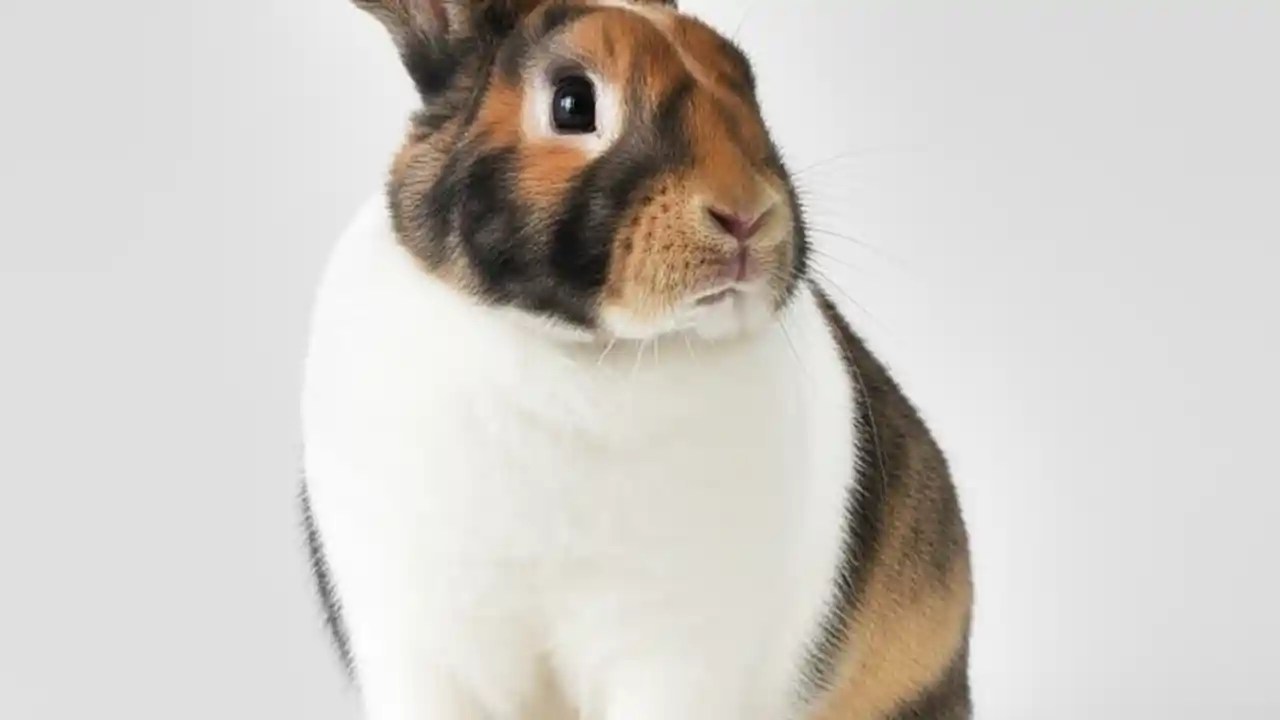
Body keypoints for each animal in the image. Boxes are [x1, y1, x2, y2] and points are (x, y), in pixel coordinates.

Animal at [300, 1, 972, 718]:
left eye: (745, 82)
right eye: (573, 103)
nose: (747, 215)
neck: (577, 349)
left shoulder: (675, 654)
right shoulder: (427, 649)